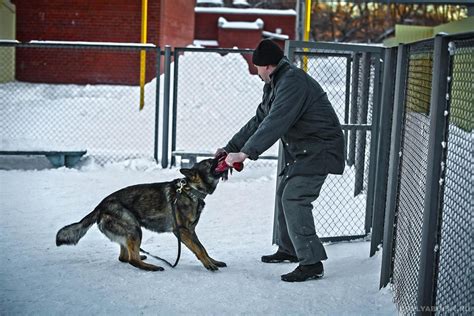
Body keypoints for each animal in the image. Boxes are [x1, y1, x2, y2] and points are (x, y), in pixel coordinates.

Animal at [55, 158, 226, 272]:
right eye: (210, 162)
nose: (221, 154)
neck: (191, 191)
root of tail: (100, 206)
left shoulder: (191, 231)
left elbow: (202, 247)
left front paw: (213, 261)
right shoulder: (182, 232)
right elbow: (199, 249)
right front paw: (208, 264)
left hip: (130, 232)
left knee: (124, 257)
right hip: (134, 229)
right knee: (132, 260)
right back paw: (151, 267)